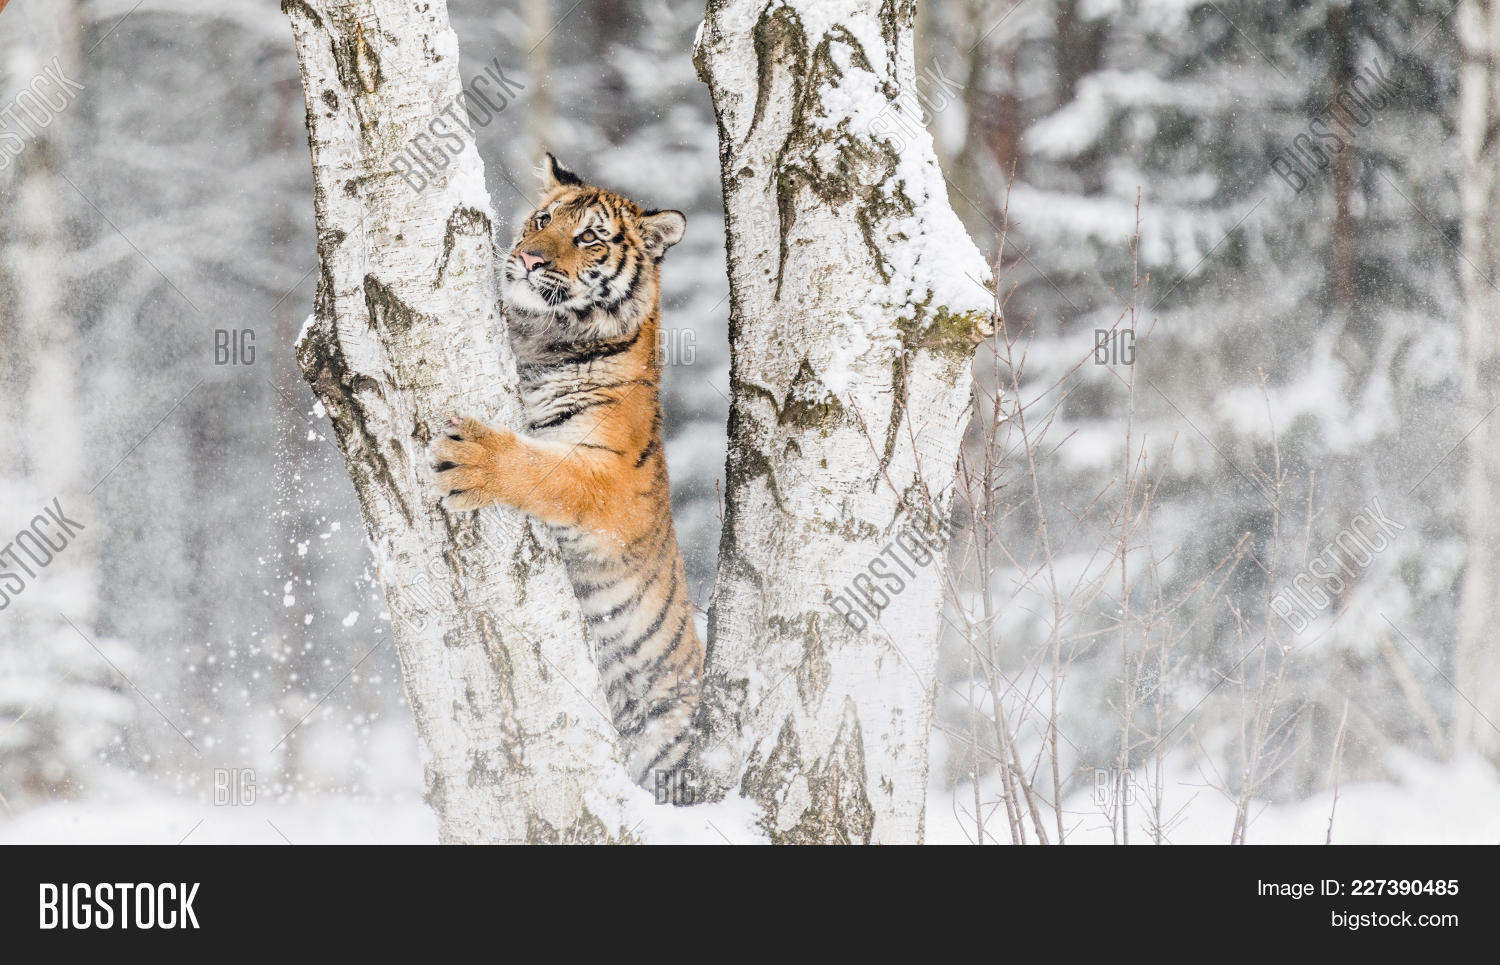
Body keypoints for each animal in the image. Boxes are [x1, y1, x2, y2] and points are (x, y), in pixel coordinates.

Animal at [431, 154, 701, 789]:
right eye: (542, 220)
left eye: (589, 238)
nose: (529, 258)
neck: (542, 343)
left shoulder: (611, 478)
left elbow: (548, 471)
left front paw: (473, 458)